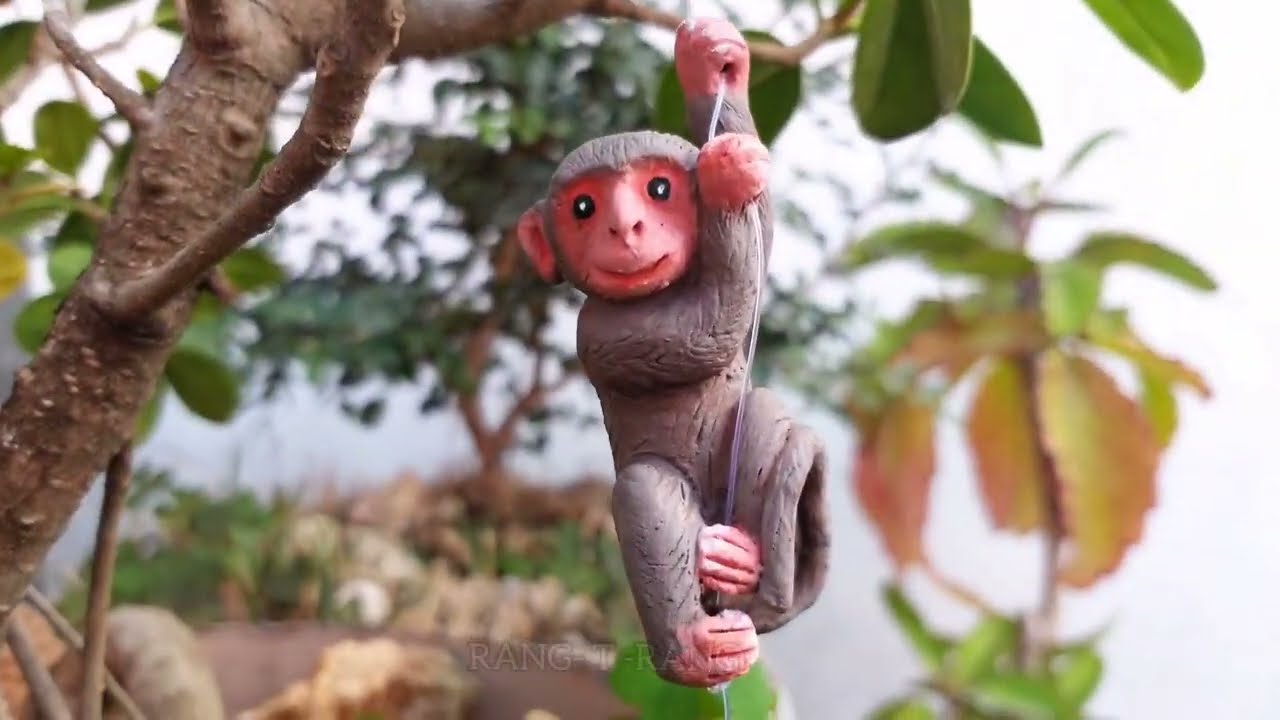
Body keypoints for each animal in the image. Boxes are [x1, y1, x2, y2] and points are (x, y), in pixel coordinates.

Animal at [516, 18, 830, 688]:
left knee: (764, 412)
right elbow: (712, 323)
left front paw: (712, 61)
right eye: (584, 208)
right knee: (646, 496)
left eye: (659, 188)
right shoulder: (603, 332)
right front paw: (724, 181)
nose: (625, 227)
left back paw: (741, 561)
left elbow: (762, 247)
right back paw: (696, 646)